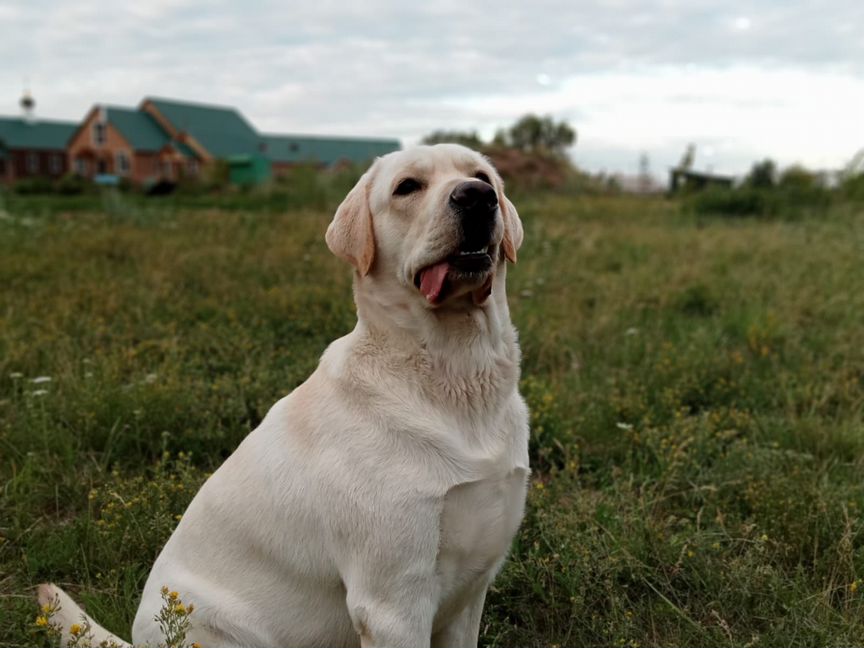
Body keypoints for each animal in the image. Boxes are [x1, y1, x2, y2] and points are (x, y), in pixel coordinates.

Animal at [40, 146, 528, 648]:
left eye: (481, 175)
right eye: (407, 187)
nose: (477, 197)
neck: (456, 373)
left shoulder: (471, 591)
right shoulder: (392, 601)